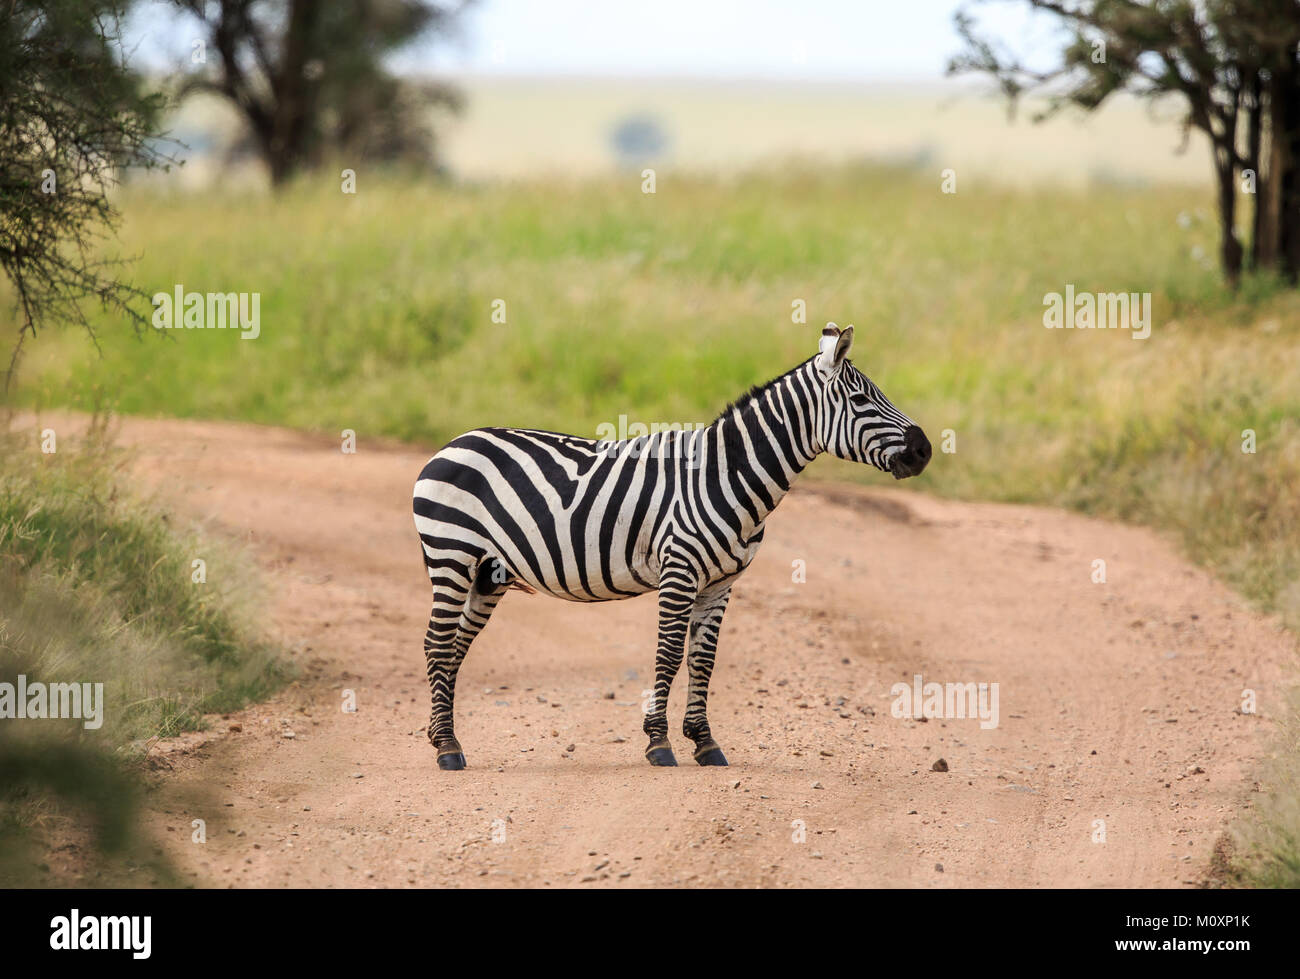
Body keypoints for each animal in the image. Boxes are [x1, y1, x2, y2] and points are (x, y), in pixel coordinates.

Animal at [412, 323, 931, 770]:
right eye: (861, 399)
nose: (924, 450)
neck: (726, 476)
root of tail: (452, 443)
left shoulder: (721, 583)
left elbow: (703, 659)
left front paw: (704, 742)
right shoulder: (679, 570)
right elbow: (668, 652)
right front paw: (659, 743)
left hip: (488, 573)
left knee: (455, 645)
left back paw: (442, 737)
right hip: (451, 555)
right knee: (437, 642)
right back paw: (448, 751)